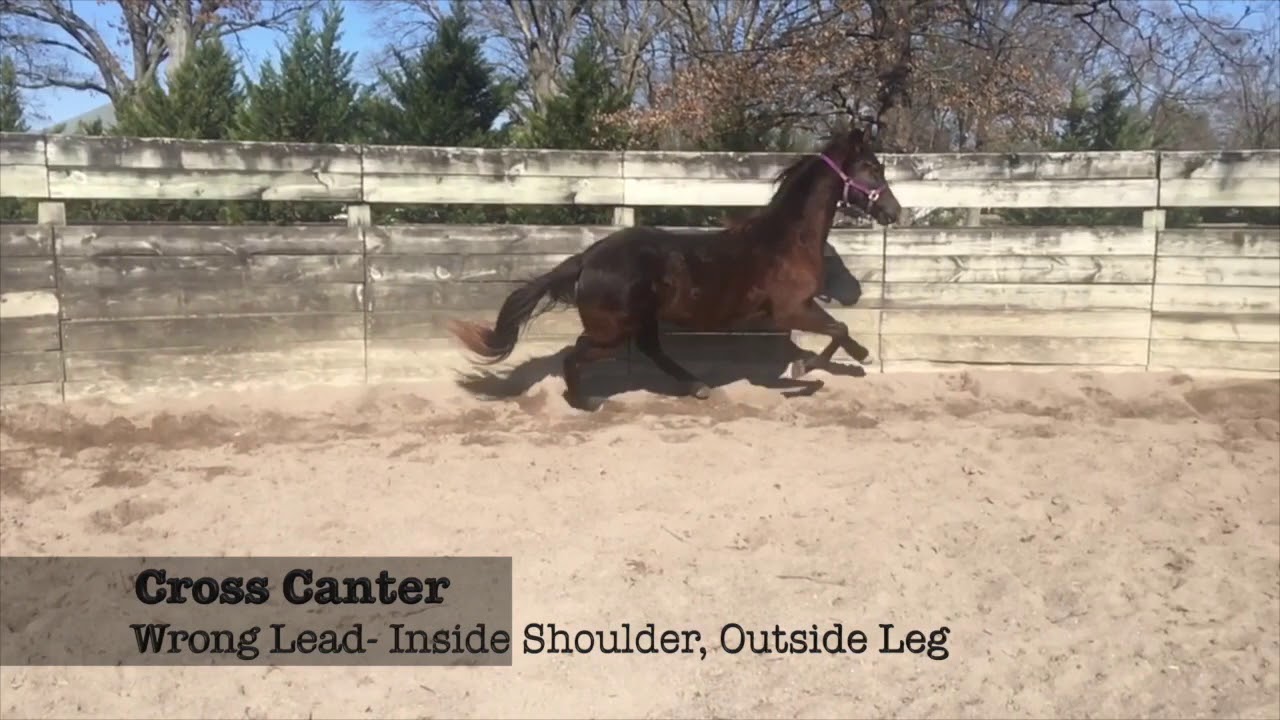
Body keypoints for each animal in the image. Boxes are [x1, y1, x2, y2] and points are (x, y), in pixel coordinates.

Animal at [447, 125, 902, 410]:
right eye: (872, 168)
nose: (894, 211)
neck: (787, 240)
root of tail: (587, 259)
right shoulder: (792, 309)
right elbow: (837, 330)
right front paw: (815, 364)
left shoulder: (797, 309)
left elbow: (838, 330)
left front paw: (846, 358)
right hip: (612, 332)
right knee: (575, 355)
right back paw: (587, 401)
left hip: (643, 321)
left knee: (652, 351)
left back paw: (697, 386)